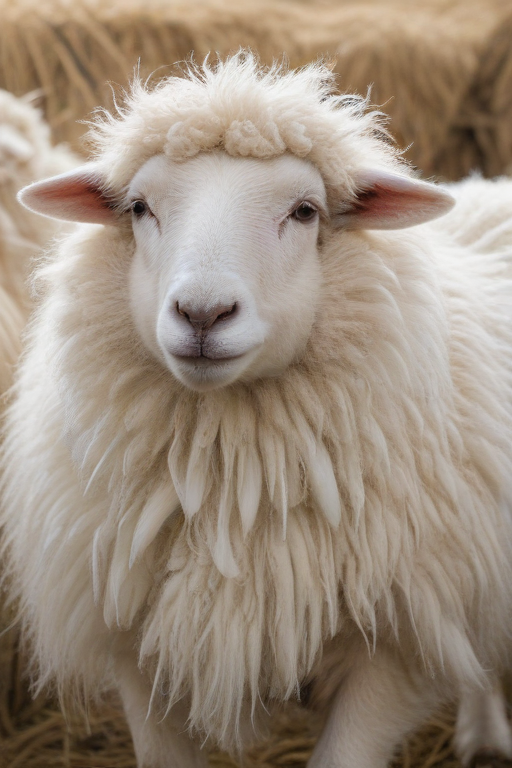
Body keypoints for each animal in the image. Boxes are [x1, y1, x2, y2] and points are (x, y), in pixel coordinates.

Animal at [2, 53, 512, 768]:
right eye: (140, 207)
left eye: (304, 211)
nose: (203, 313)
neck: (231, 487)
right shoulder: (138, 650)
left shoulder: (399, 645)